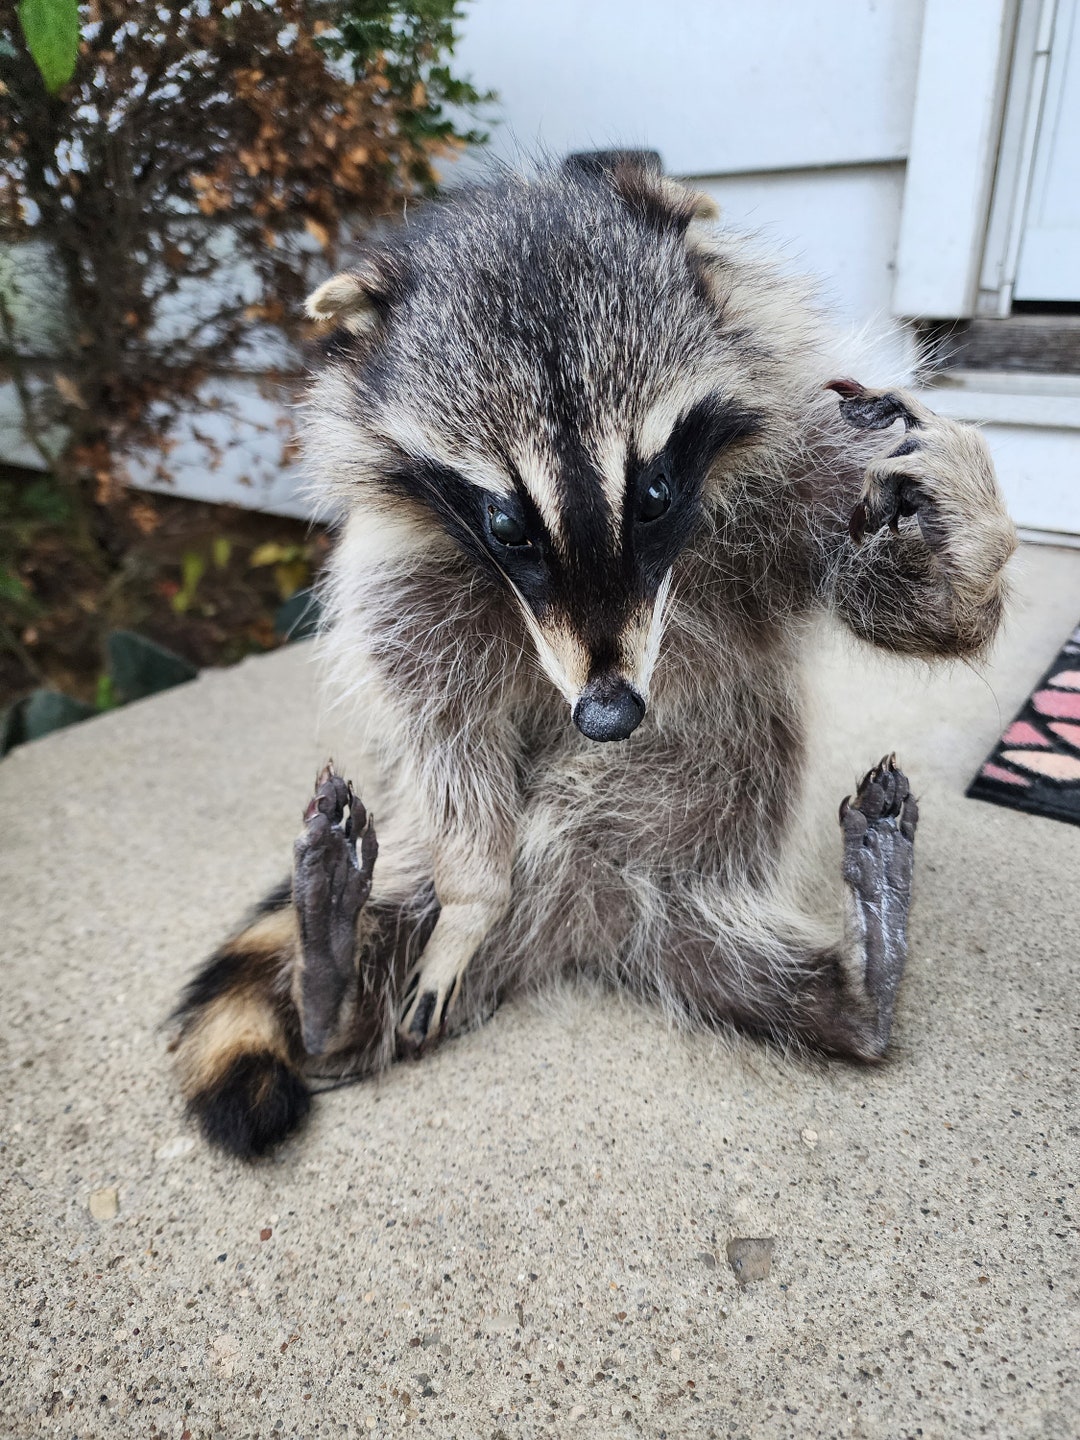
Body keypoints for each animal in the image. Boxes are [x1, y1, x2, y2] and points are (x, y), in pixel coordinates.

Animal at [172, 155, 1016, 1158]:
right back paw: (330, 977)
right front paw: (473, 890)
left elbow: (925, 611)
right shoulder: (408, 569)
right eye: (506, 523)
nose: (609, 718)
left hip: (694, 895)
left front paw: (968, 517)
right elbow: (437, 720)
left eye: (652, 492)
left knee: (772, 980)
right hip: (432, 901)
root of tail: (582, 930)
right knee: (378, 973)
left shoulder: (802, 466)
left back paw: (866, 978)